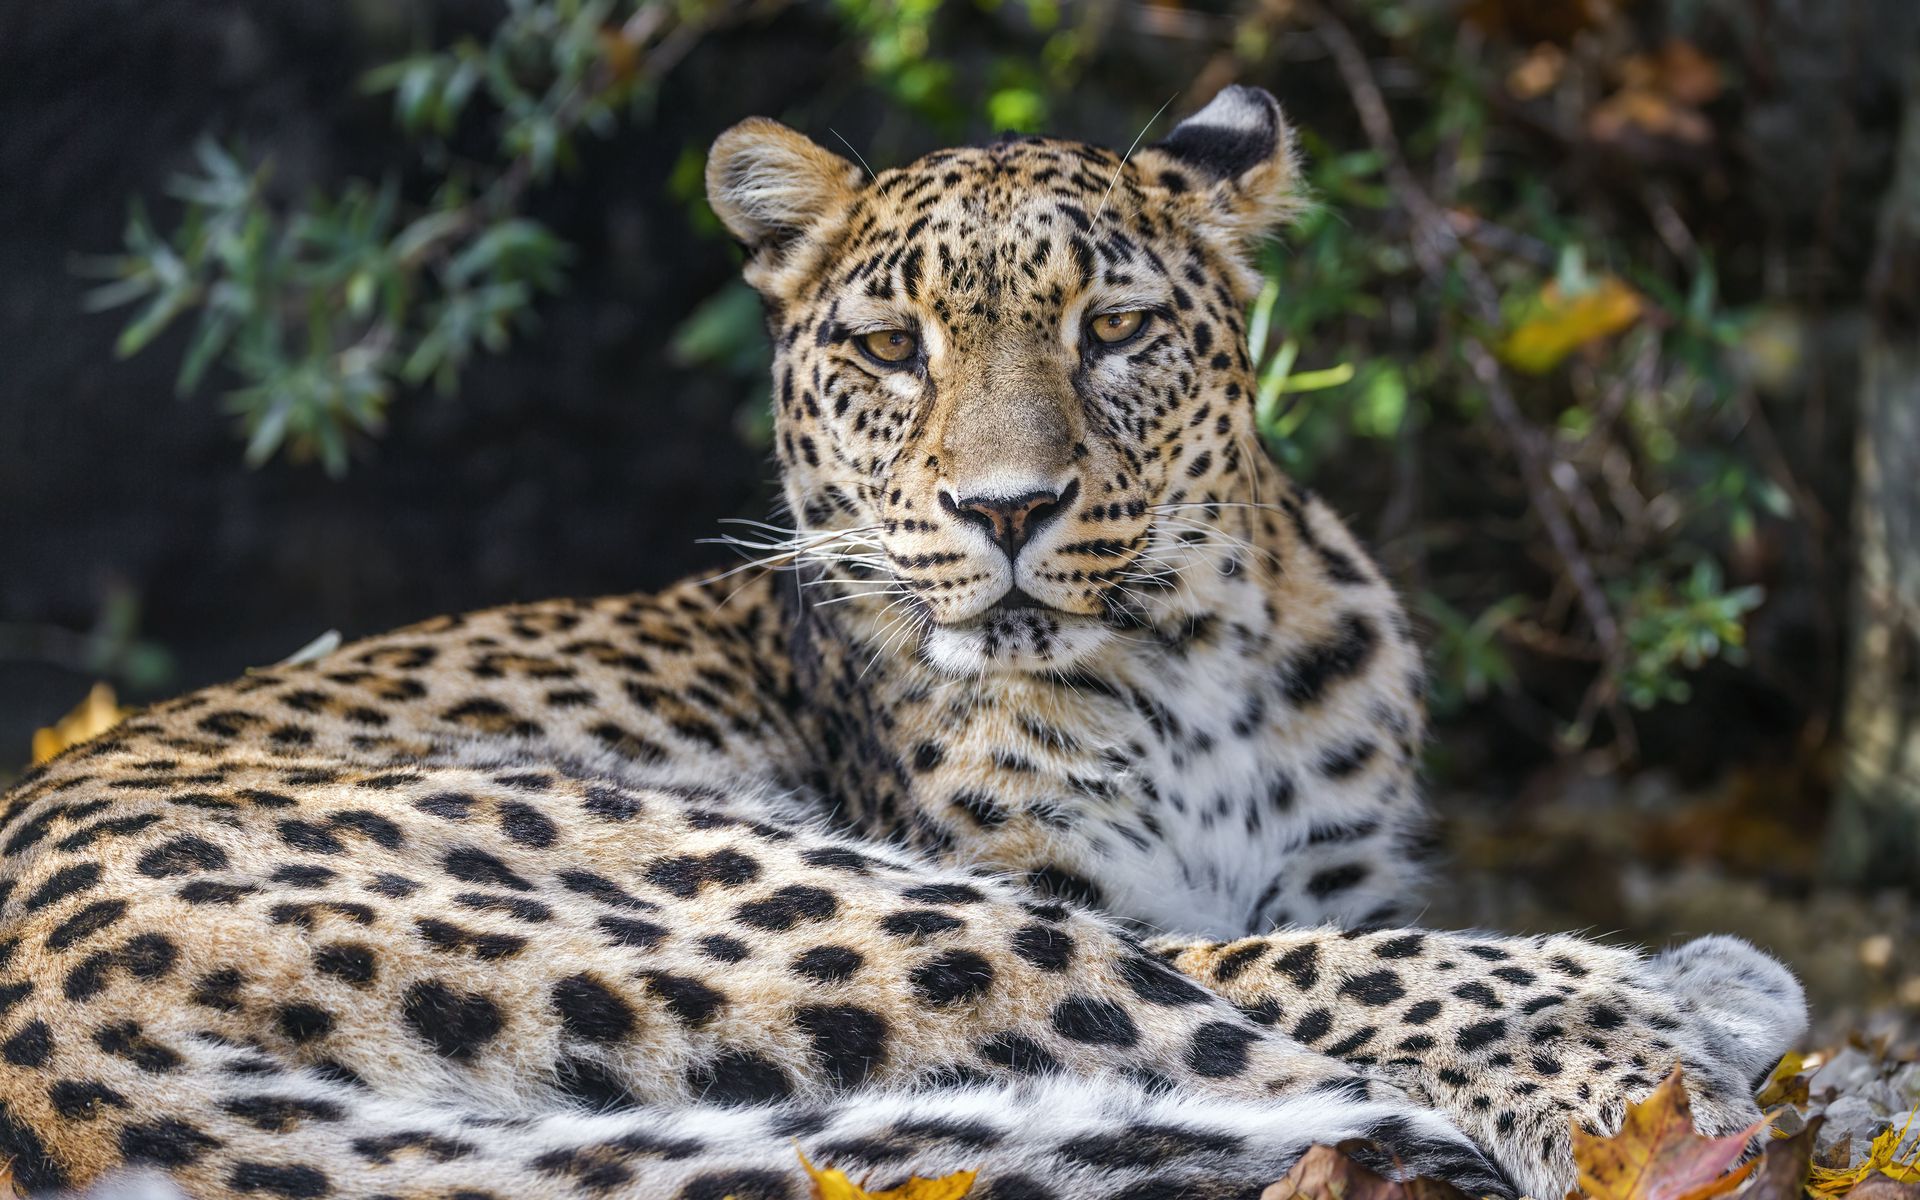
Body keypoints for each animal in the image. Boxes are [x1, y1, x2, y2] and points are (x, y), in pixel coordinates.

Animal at [0, 85, 1805, 1200]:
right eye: (888, 347)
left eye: (1116, 329)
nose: (1007, 509)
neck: (1197, 671)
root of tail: (53, 1077)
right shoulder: (1050, 871)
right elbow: (1302, 958)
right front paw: (1644, 1031)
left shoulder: (1345, 858)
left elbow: (1352, 926)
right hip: (773, 890)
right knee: (1191, 1034)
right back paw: (1662, 1057)